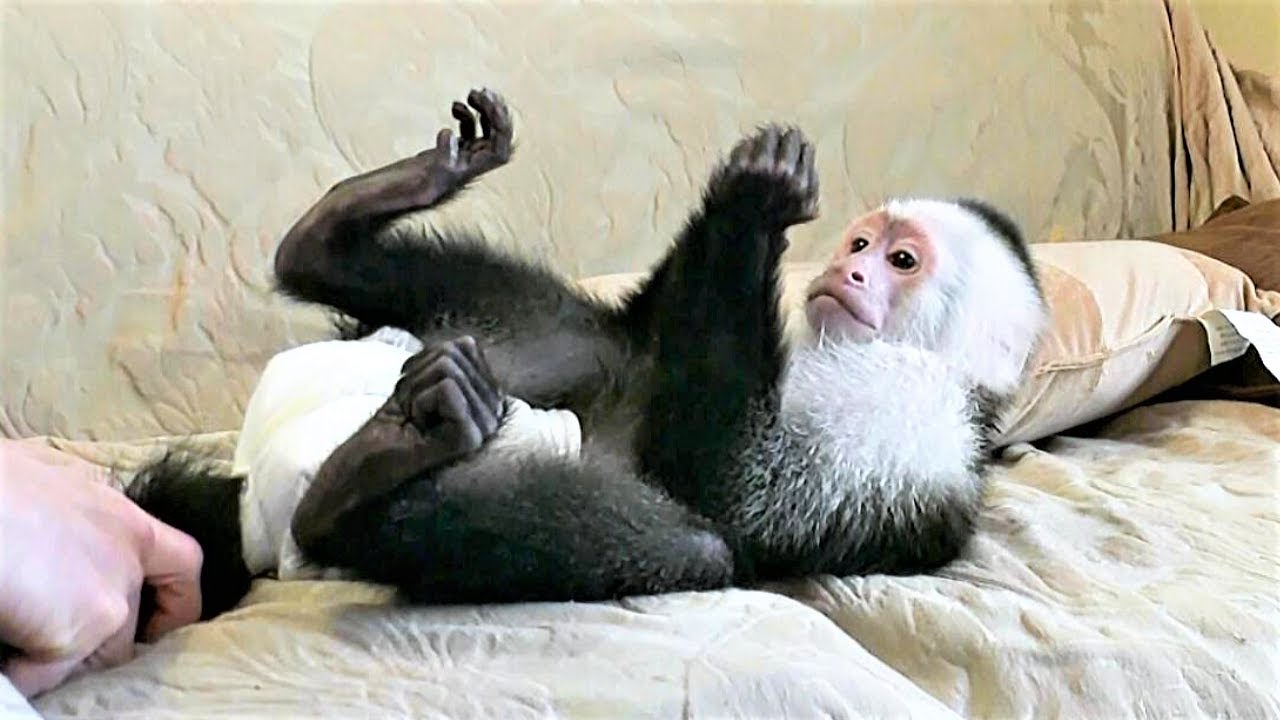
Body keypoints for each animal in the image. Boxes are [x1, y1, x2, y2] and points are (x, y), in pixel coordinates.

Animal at [128, 88, 1048, 621]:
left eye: (902, 261)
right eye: (860, 243)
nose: (843, 271)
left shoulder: (919, 414)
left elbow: (733, 489)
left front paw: (752, 207)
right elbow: (644, 334)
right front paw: (741, 208)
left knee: (700, 550)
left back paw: (357, 488)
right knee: (584, 343)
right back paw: (344, 231)